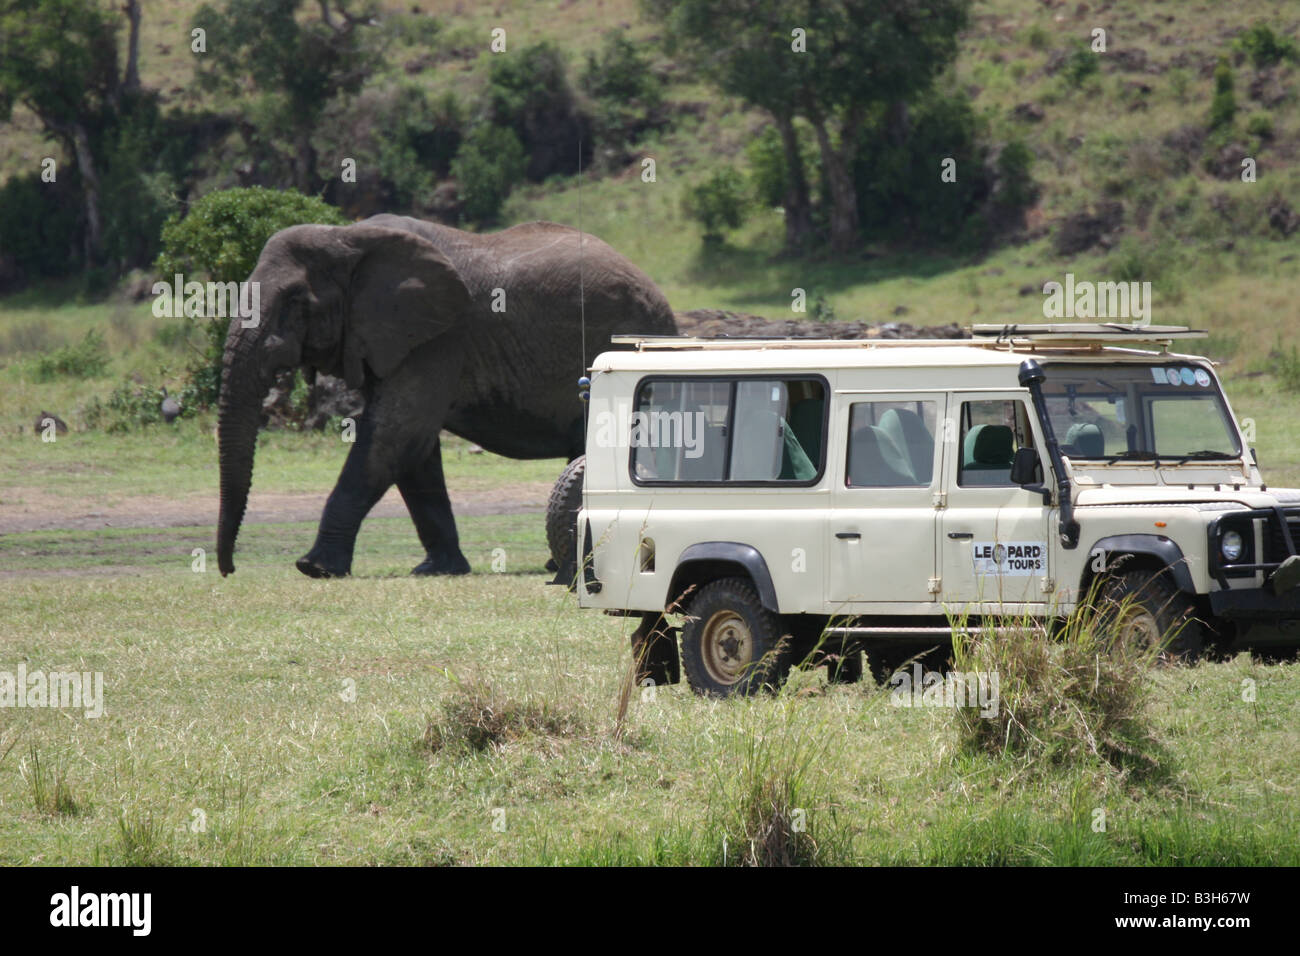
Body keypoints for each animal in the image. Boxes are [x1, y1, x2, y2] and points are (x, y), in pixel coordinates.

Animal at [215, 214, 677, 578]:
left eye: (296, 303)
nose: (228, 570)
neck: (348, 236)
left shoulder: (439, 338)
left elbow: (394, 434)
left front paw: (315, 568)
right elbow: (413, 448)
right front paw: (437, 569)